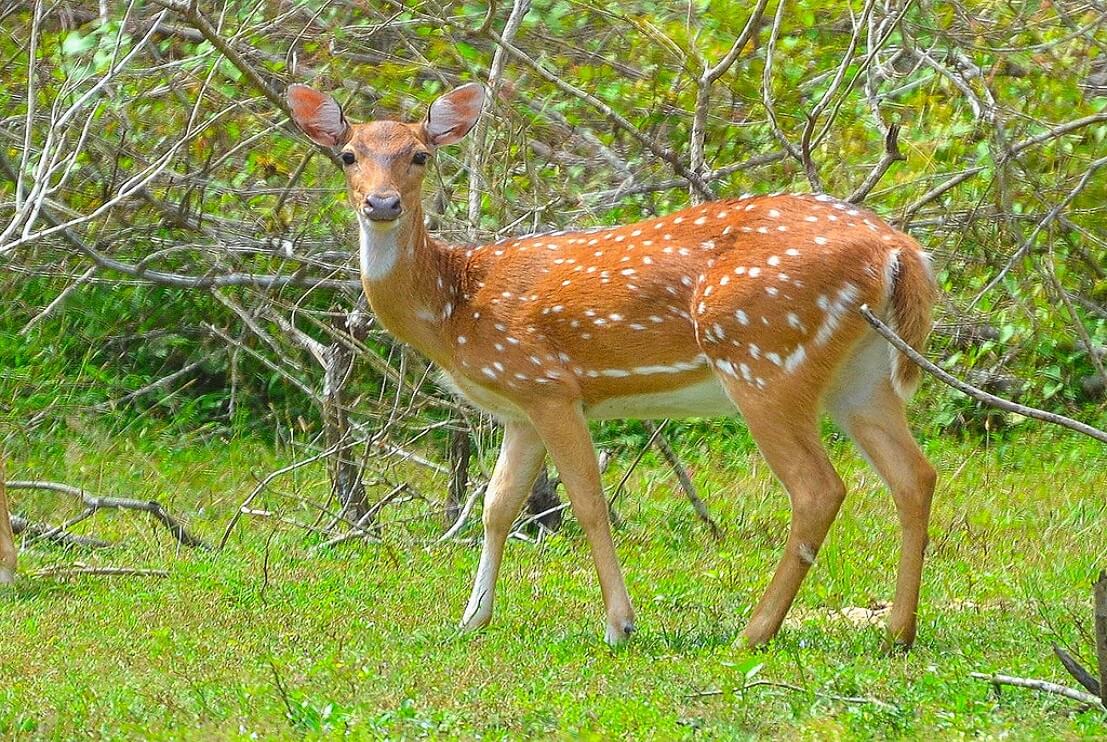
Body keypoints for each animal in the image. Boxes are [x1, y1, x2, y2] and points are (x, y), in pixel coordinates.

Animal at [287, 80, 939, 649]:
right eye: (348, 155)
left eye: (419, 155)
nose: (382, 203)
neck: (455, 308)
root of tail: (898, 250)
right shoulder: (519, 407)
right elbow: (498, 507)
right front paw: (472, 619)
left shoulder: (549, 385)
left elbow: (586, 502)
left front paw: (620, 625)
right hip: (861, 375)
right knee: (915, 476)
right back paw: (896, 633)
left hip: (762, 357)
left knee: (818, 488)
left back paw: (754, 633)